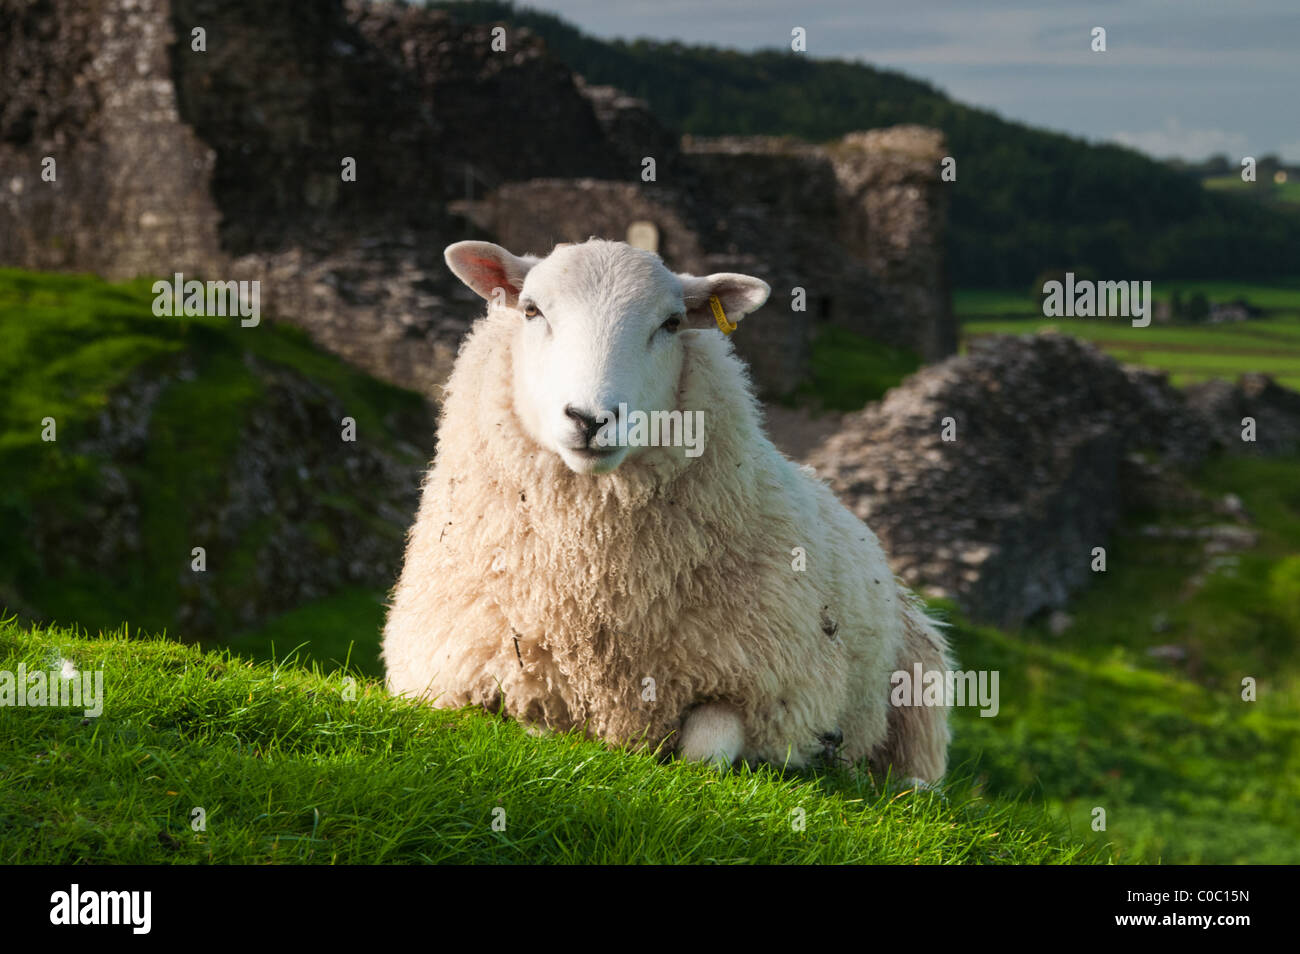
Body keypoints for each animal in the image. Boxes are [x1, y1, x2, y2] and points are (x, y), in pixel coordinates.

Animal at [382, 238, 952, 779]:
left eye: (672, 323)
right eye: (531, 310)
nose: (591, 419)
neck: (592, 585)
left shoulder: (764, 694)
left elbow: (704, 752)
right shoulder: (472, 675)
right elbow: (534, 725)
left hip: (918, 689)